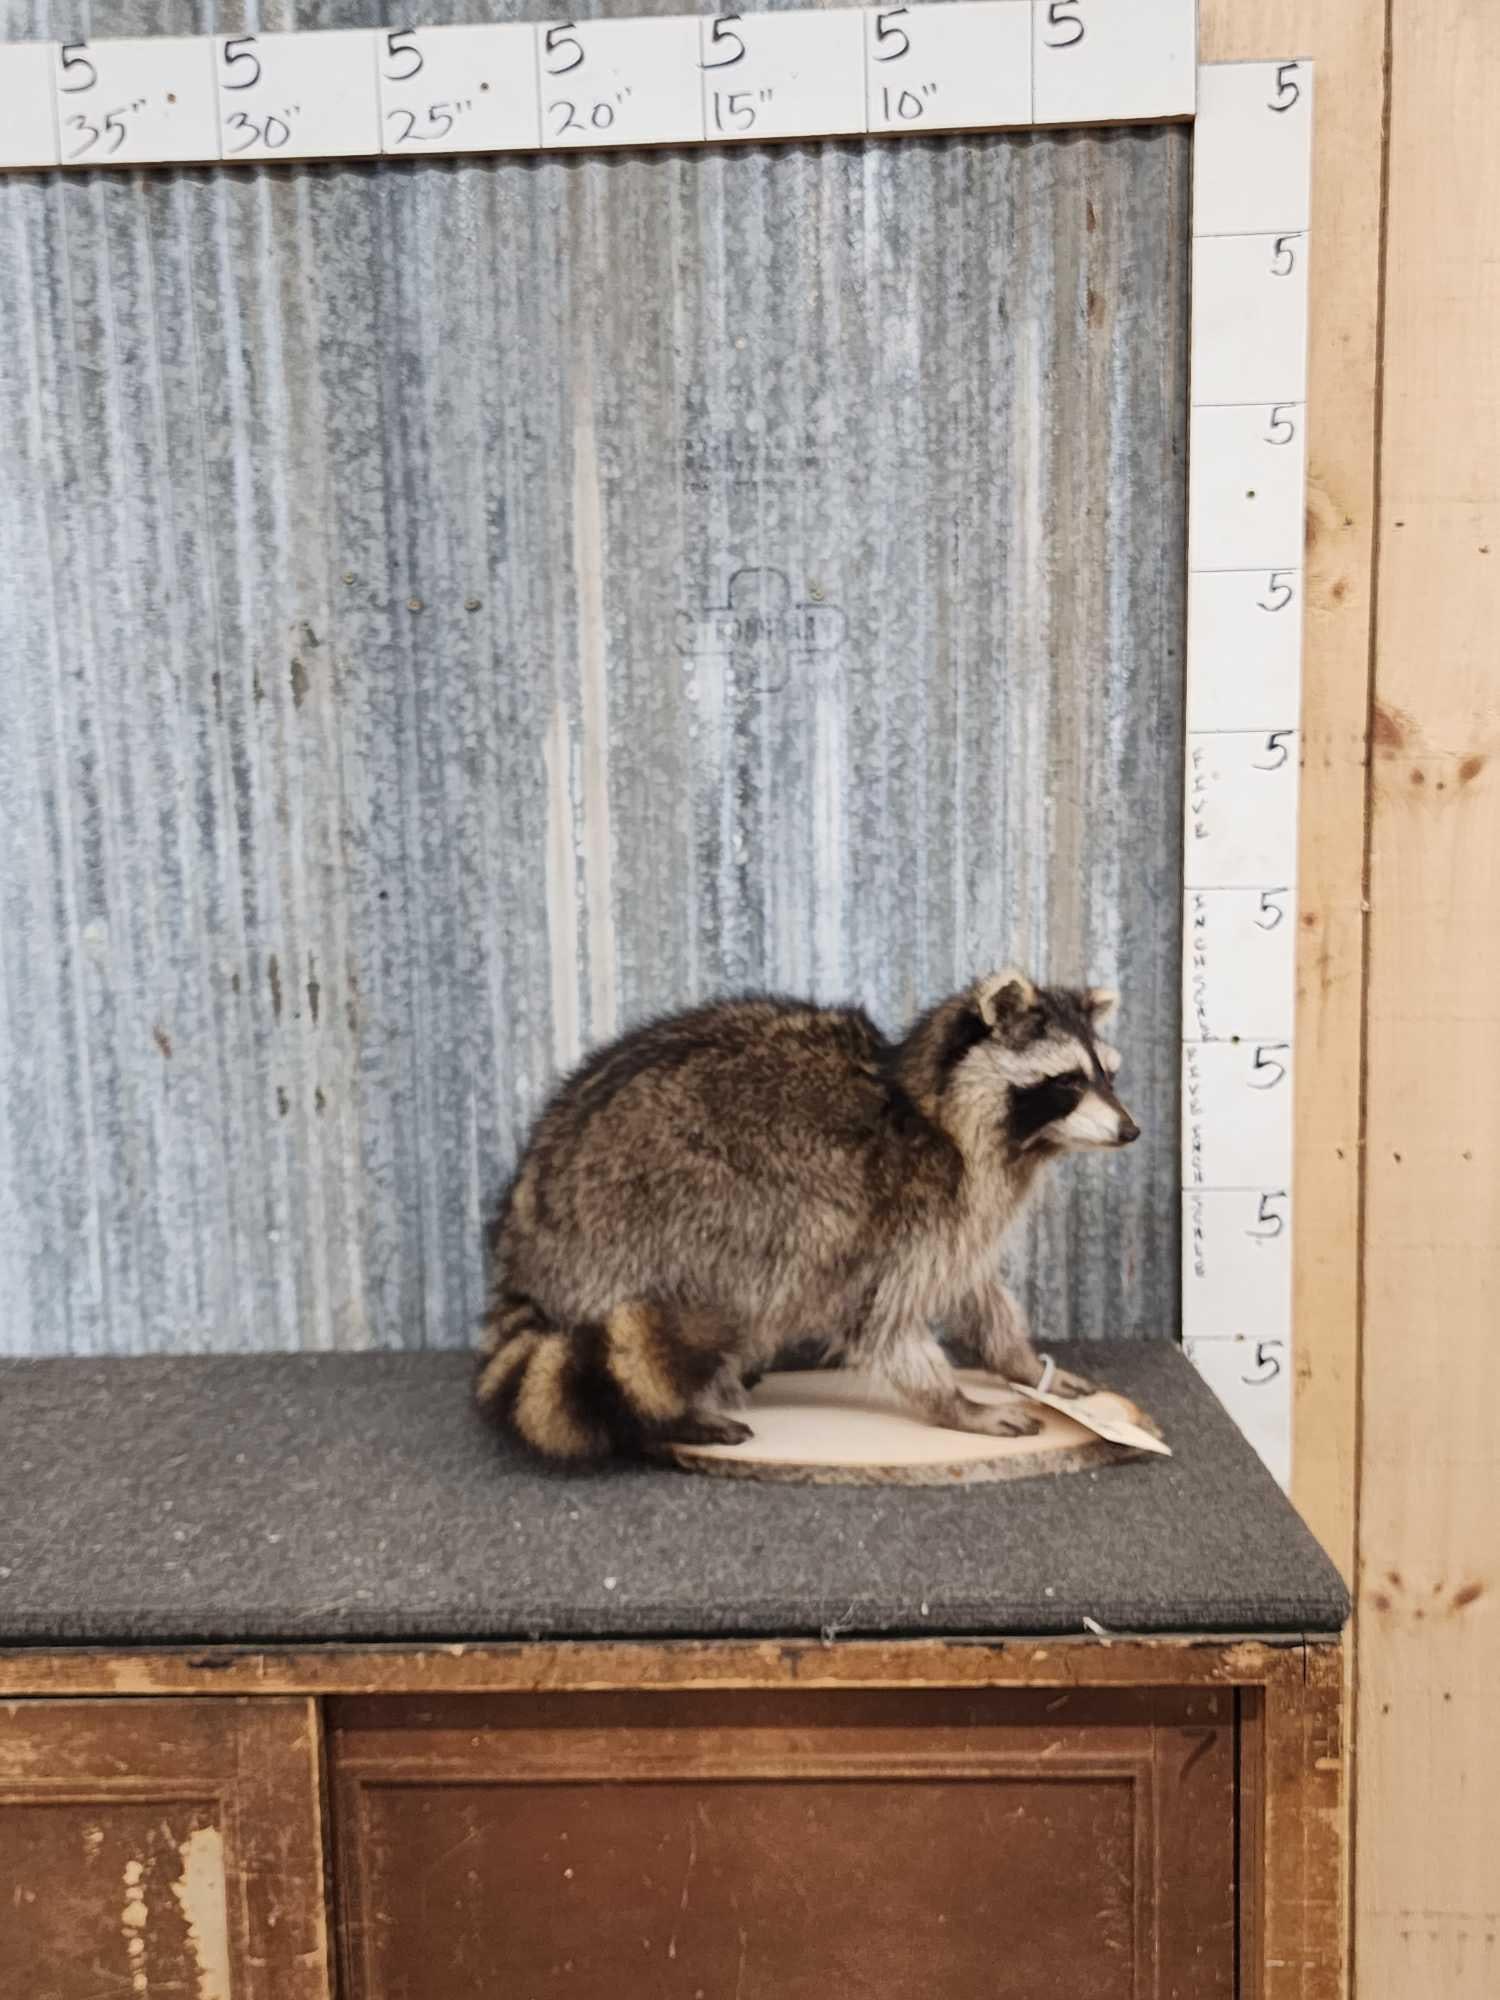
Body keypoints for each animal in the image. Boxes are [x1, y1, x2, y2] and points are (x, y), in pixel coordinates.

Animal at [475, 968, 1138, 1460]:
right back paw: (676, 1415)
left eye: (1108, 1074)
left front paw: (1022, 1363)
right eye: (1068, 1082)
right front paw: (956, 1403)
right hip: (665, 1213)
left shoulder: (964, 1213)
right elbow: (882, 1320)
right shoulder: (904, 1204)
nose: (1131, 1131)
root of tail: (524, 1242)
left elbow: (973, 1287)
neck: (938, 1110)